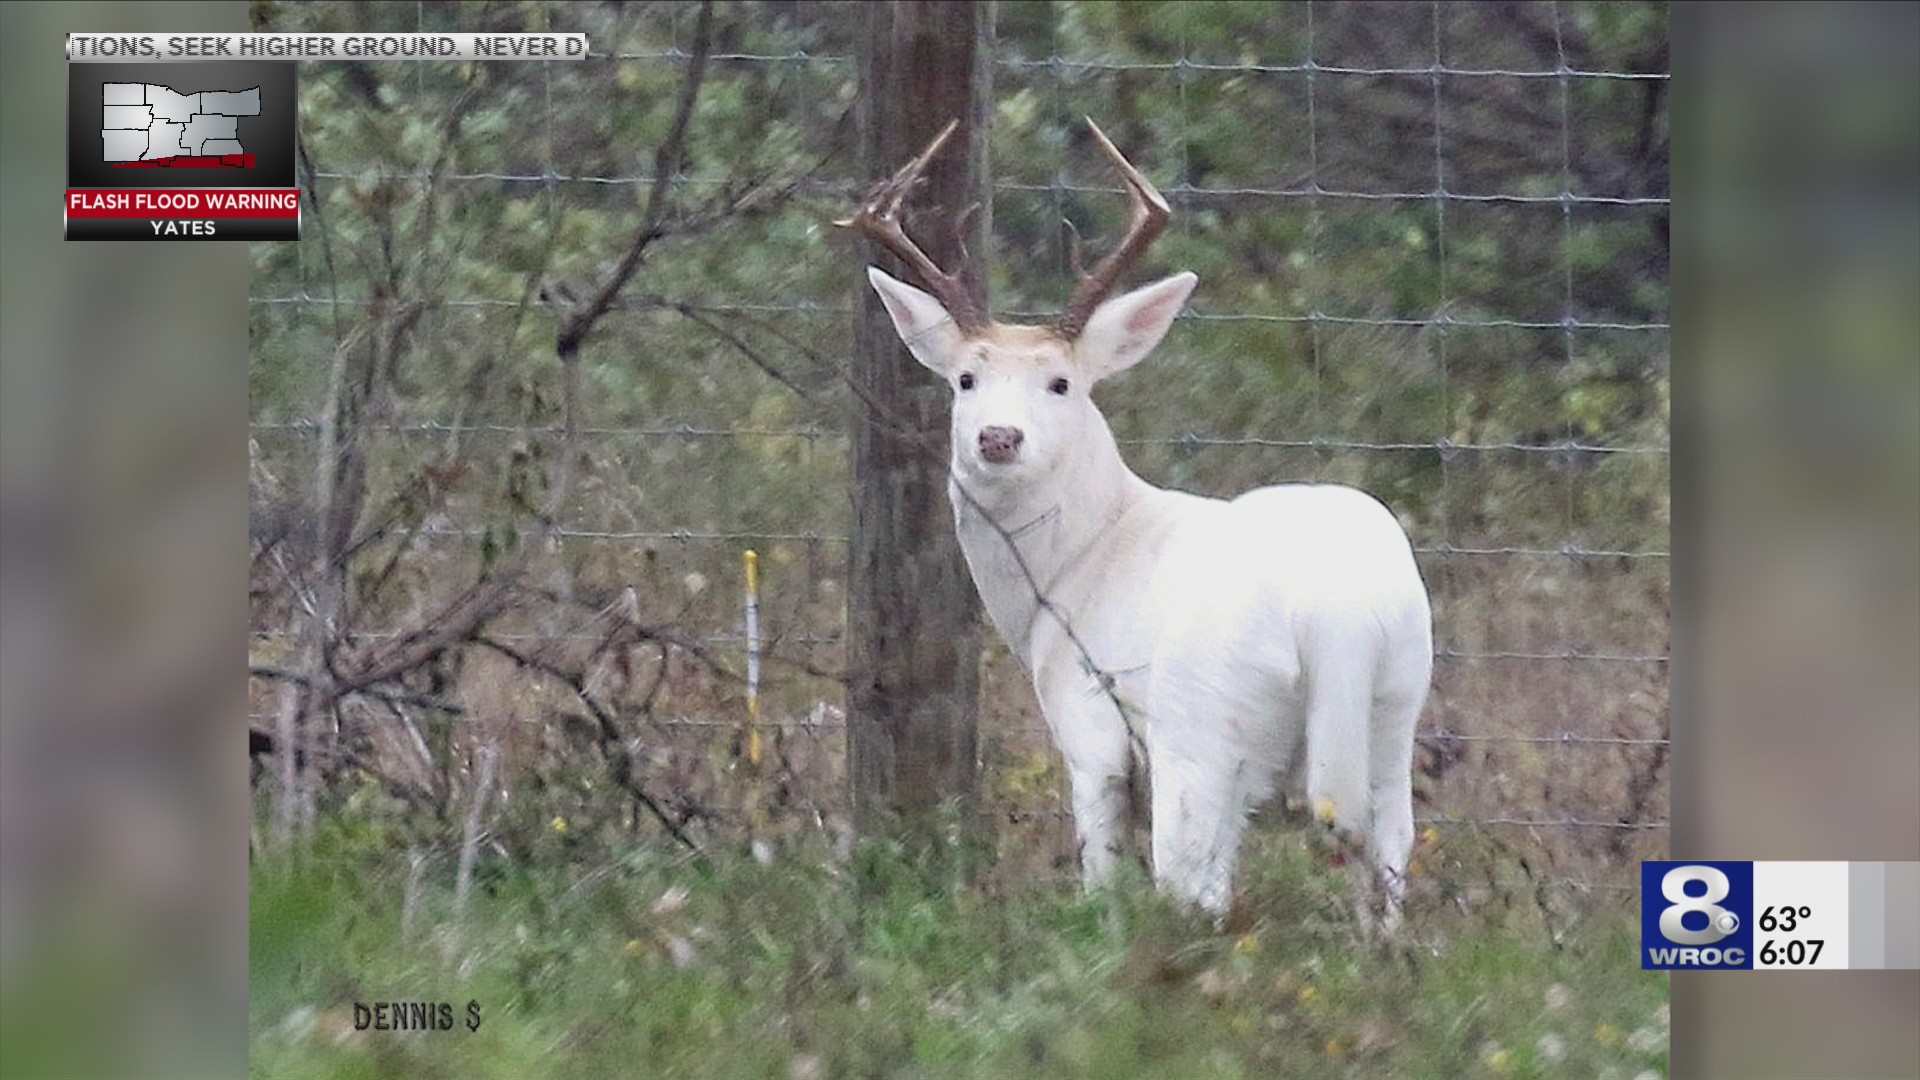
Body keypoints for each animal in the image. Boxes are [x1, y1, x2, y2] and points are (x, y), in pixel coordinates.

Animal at [841, 118, 1434, 933]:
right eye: (965, 378)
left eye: (1061, 382)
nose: (999, 437)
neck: (1076, 564)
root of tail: (1337, 614)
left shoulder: (1091, 727)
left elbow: (1102, 875)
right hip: (1395, 707)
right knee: (1387, 859)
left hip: (1203, 727)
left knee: (1197, 887)